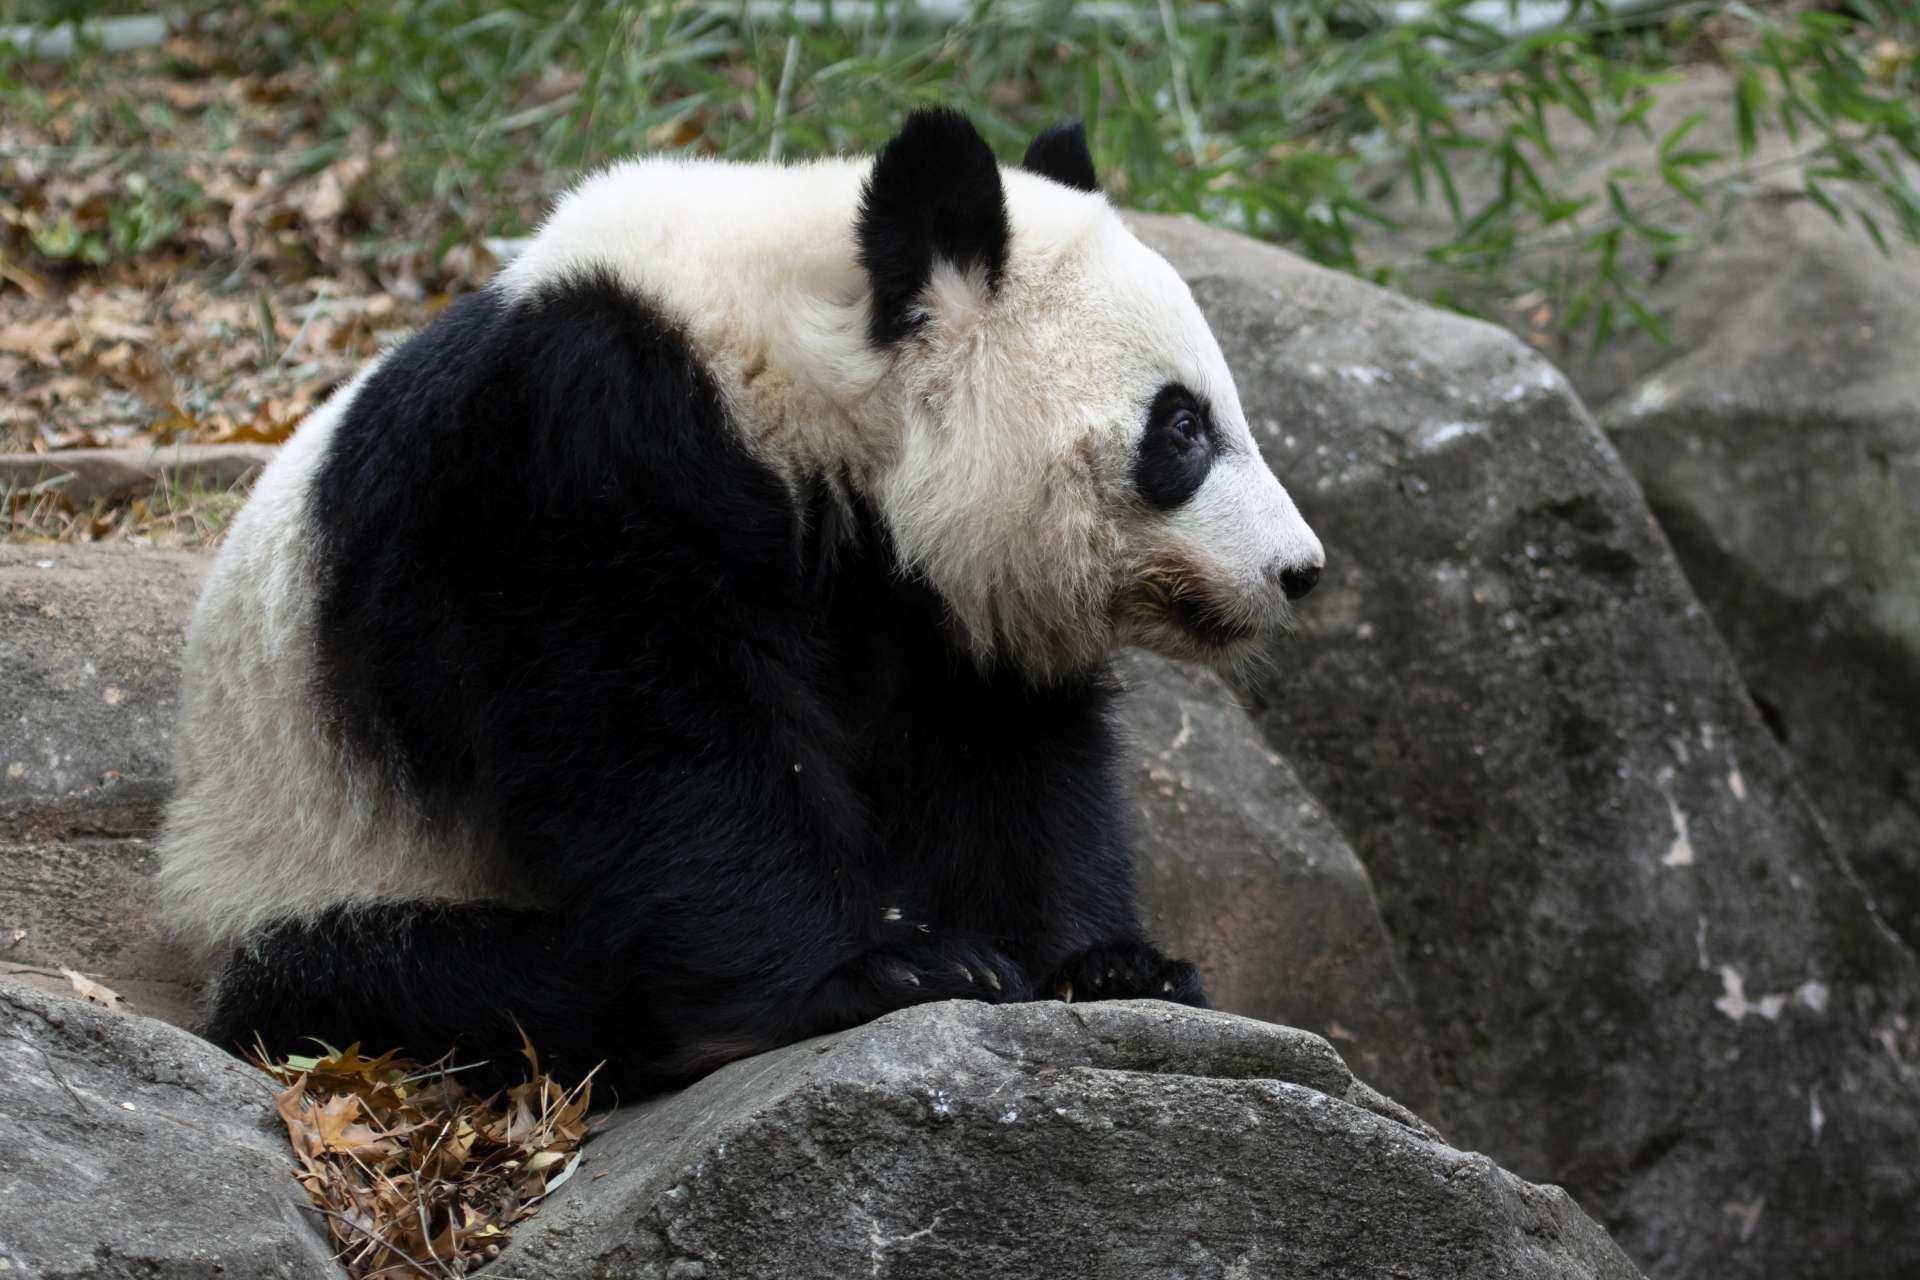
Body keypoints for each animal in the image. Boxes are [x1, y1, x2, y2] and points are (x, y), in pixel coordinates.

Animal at [157, 110, 1324, 1093]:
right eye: (1182, 427)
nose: (1300, 570)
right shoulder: (579, 444)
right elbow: (656, 732)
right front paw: (893, 970)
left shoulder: (935, 595)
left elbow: (1005, 755)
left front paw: (1113, 965)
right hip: (324, 863)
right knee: (450, 983)